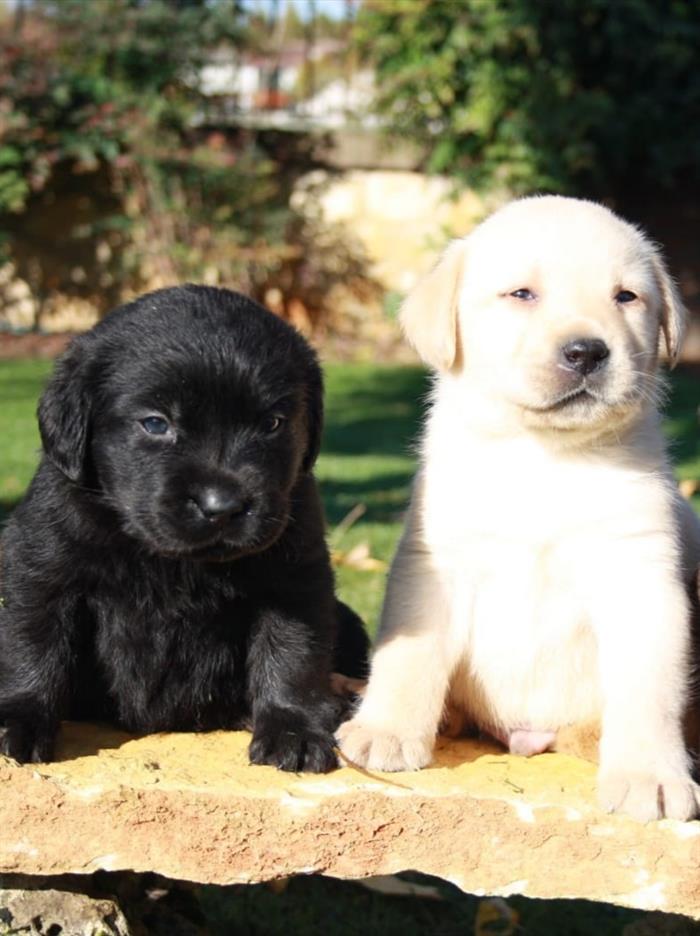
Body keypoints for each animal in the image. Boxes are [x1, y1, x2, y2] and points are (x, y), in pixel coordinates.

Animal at [0, 284, 370, 768]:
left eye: (273, 423)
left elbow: (293, 653)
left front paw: (295, 730)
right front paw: (20, 718)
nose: (221, 506)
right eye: (156, 423)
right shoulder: (42, 565)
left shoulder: (296, 576)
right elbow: (32, 644)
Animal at [338, 196, 700, 820]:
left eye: (626, 297)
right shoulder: (435, 564)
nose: (586, 352)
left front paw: (649, 774)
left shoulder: (642, 577)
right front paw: (385, 729)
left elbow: (649, 689)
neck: (543, 456)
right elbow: (409, 655)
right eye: (522, 294)